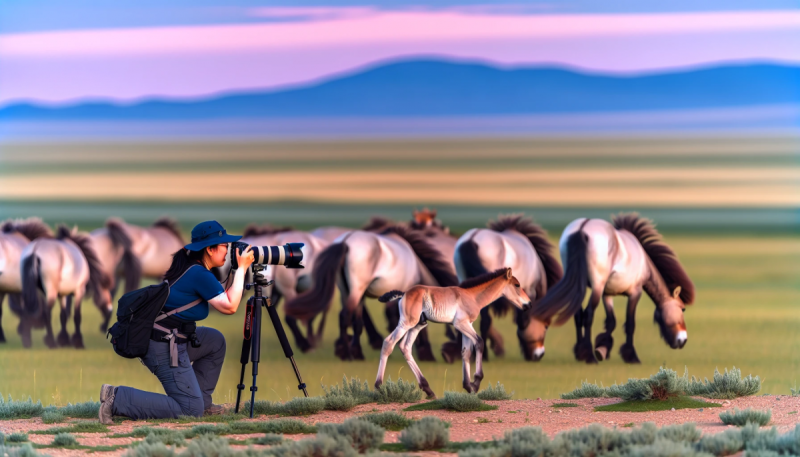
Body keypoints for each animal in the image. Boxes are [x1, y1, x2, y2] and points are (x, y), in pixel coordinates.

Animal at [285, 225, 459, 361]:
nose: (450, 356)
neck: (419, 266)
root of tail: (345, 241)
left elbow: (360, 322)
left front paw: (359, 351)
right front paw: (425, 353)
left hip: (348, 291)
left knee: (349, 317)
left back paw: (352, 352)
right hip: (355, 290)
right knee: (344, 316)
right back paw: (345, 354)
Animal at [375, 268, 531, 398]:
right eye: (517, 285)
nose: (528, 304)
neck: (472, 297)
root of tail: (404, 294)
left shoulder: (467, 325)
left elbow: (466, 352)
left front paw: (468, 386)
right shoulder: (461, 324)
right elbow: (480, 342)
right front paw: (476, 382)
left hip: (417, 326)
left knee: (405, 348)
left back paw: (428, 390)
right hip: (406, 323)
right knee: (388, 343)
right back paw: (379, 386)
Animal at [444, 214, 563, 363]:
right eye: (546, 326)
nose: (538, 355)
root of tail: (471, 240)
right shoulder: (528, 292)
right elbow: (522, 321)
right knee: (485, 321)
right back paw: (484, 356)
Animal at [532, 213, 695, 364]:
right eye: (682, 309)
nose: (683, 340)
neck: (643, 262)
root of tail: (583, 227)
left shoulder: (607, 294)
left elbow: (611, 322)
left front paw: (602, 349)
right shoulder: (635, 293)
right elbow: (630, 323)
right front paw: (631, 356)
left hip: (579, 284)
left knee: (578, 314)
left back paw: (580, 354)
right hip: (596, 286)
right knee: (588, 315)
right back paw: (589, 356)